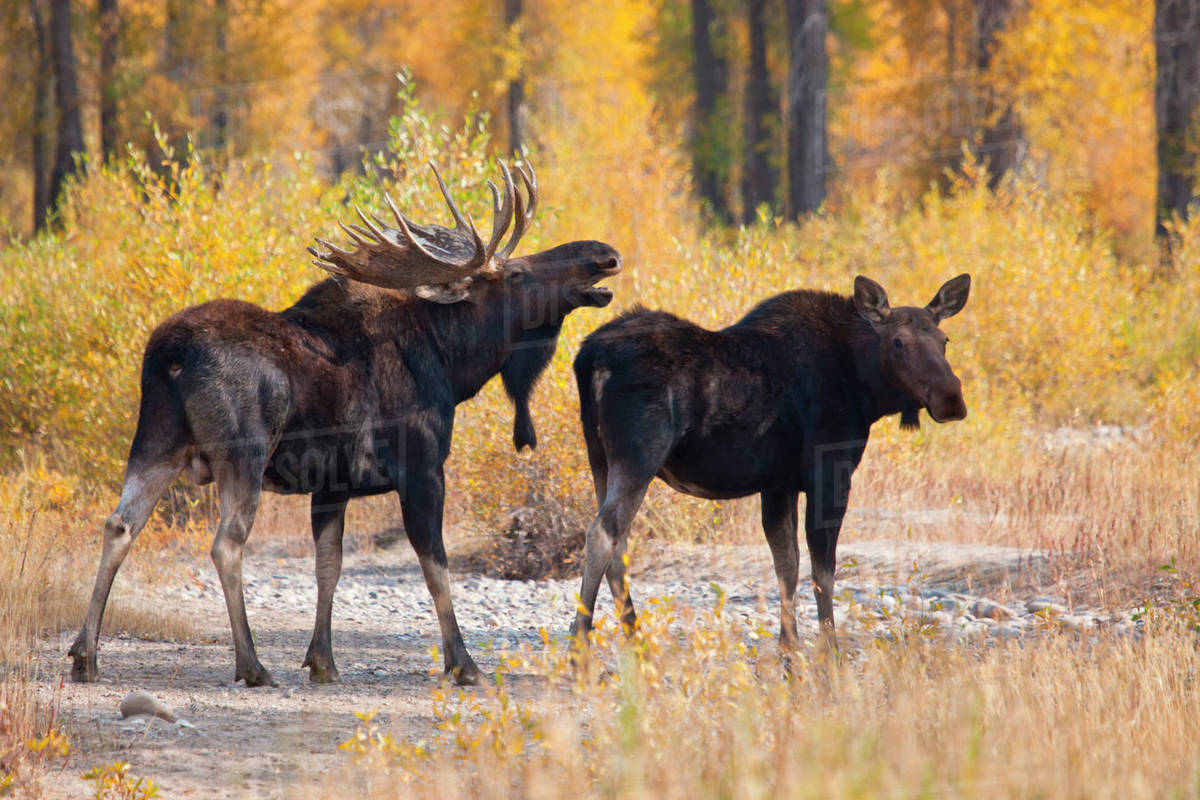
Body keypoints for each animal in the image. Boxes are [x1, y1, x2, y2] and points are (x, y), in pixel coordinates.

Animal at [68, 160, 621, 687]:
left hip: (155, 443)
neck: (453, 362)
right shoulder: (422, 470)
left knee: (119, 525)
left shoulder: (331, 486)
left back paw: (85, 655)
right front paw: (463, 664)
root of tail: (171, 355)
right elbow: (436, 568)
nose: (604, 255)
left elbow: (328, 568)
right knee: (226, 544)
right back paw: (251, 664)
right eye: (517, 274)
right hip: (241, 454)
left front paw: (322, 662)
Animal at [568, 274, 970, 657]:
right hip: (639, 456)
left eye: (944, 339)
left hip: (599, 458)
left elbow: (787, 563)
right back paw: (580, 647)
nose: (951, 397)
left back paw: (634, 641)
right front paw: (830, 654)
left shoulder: (779, 484)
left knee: (618, 541)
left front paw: (789, 651)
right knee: (602, 533)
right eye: (898, 342)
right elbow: (822, 571)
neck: (865, 387)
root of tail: (588, 357)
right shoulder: (829, 472)